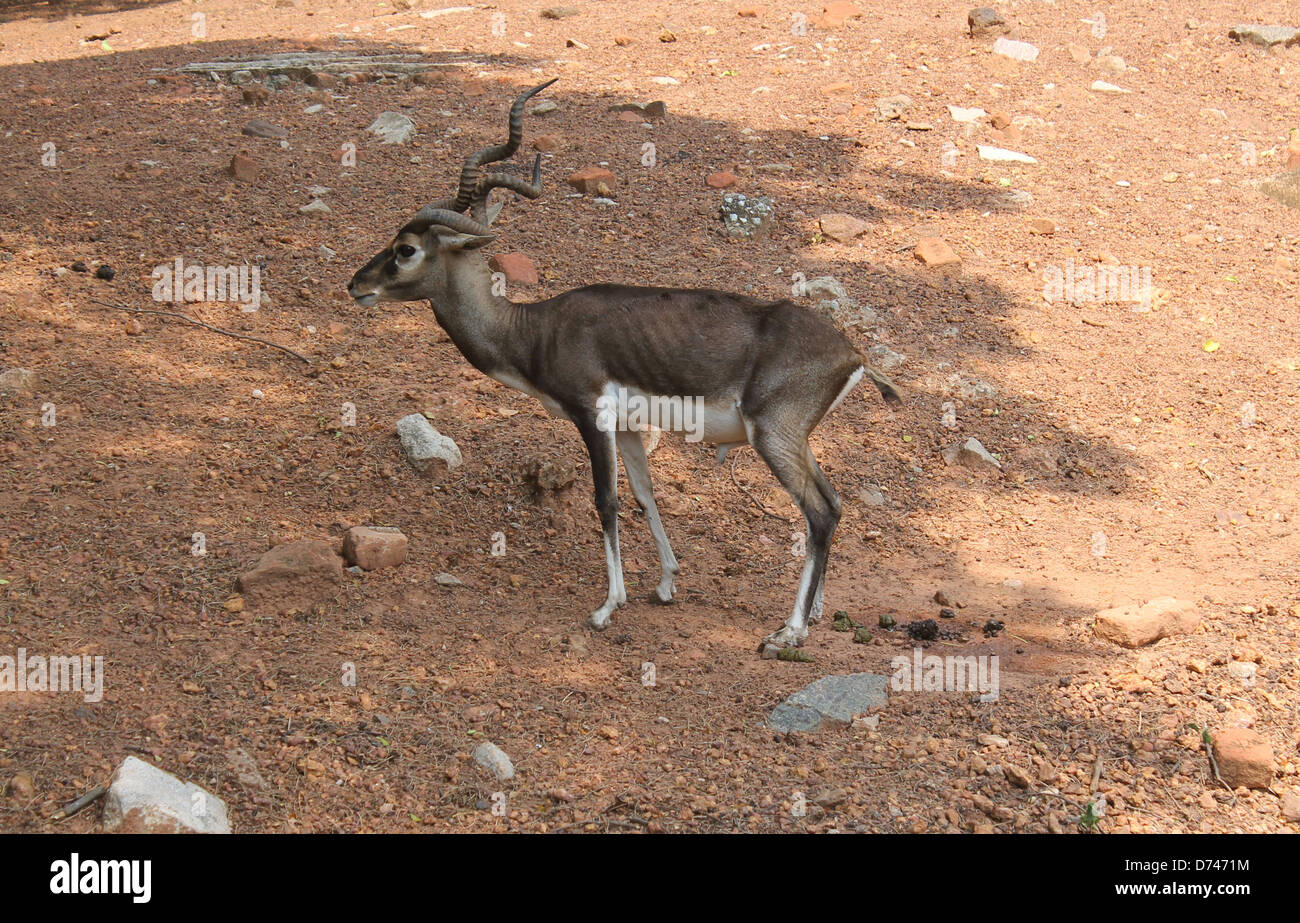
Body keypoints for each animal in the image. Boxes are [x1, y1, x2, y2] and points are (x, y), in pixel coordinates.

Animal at [347, 79, 901, 654]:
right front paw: (665, 583)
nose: (356, 284)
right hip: (796, 441)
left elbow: (606, 501)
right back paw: (813, 613)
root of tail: (853, 353)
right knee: (834, 503)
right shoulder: (632, 427)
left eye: (405, 249)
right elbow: (644, 495)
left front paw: (607, 606)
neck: (534, 329)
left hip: (773, 436)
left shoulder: (592, 415)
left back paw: (787, 631)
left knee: (817, 511)